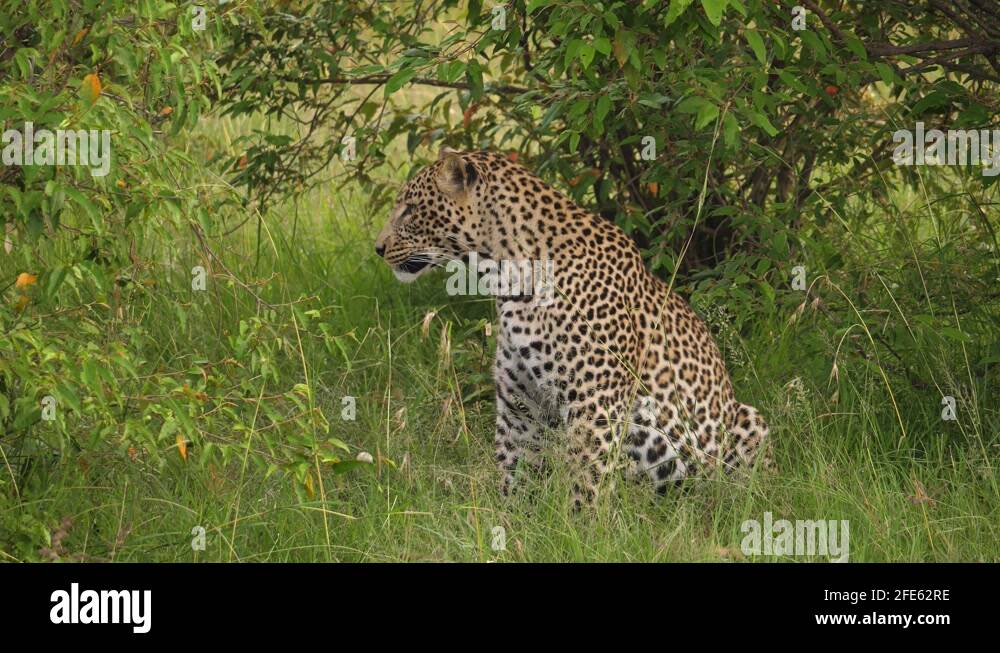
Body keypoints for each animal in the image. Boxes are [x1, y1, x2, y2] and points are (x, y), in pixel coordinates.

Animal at [375, 148, 771, 507]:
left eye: (410, 209)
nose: (378, 248)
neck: (506, 277)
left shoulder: (596, 401)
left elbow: (586, 478)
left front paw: (583, 526)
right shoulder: (521, 403)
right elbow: (515, 472)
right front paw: (511, 522)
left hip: (749, 422)